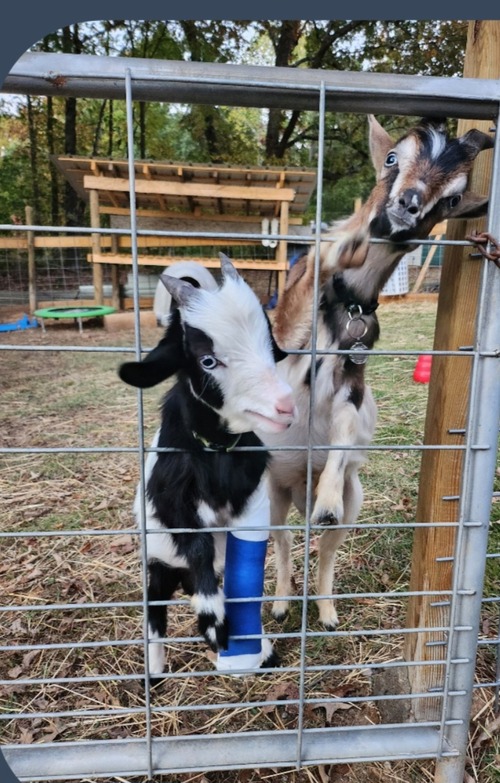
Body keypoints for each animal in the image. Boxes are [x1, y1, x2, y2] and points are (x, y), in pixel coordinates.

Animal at [118, 255, 301, 676]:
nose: (285, 405)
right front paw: (215, 625)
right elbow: (197, 546)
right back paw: (155, 671)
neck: (218, 454)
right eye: (208, 360)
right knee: (155, 610)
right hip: (160, 564)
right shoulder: (171, 502)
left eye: (270, 345)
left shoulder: (254, 498)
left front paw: (251, 648)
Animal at [258, 115, 493, 628]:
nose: (408, 204)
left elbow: (345, 429)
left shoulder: (354, 380)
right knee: (282, 541)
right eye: (391, 159)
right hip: (271, 492)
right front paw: (338, 245)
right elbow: (301, 297)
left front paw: (326, 500)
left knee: (326, 549)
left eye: (452, 197)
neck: (346, 303)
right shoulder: (281, 336)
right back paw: (282, 604)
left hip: (357, 499)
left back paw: (326, 609)